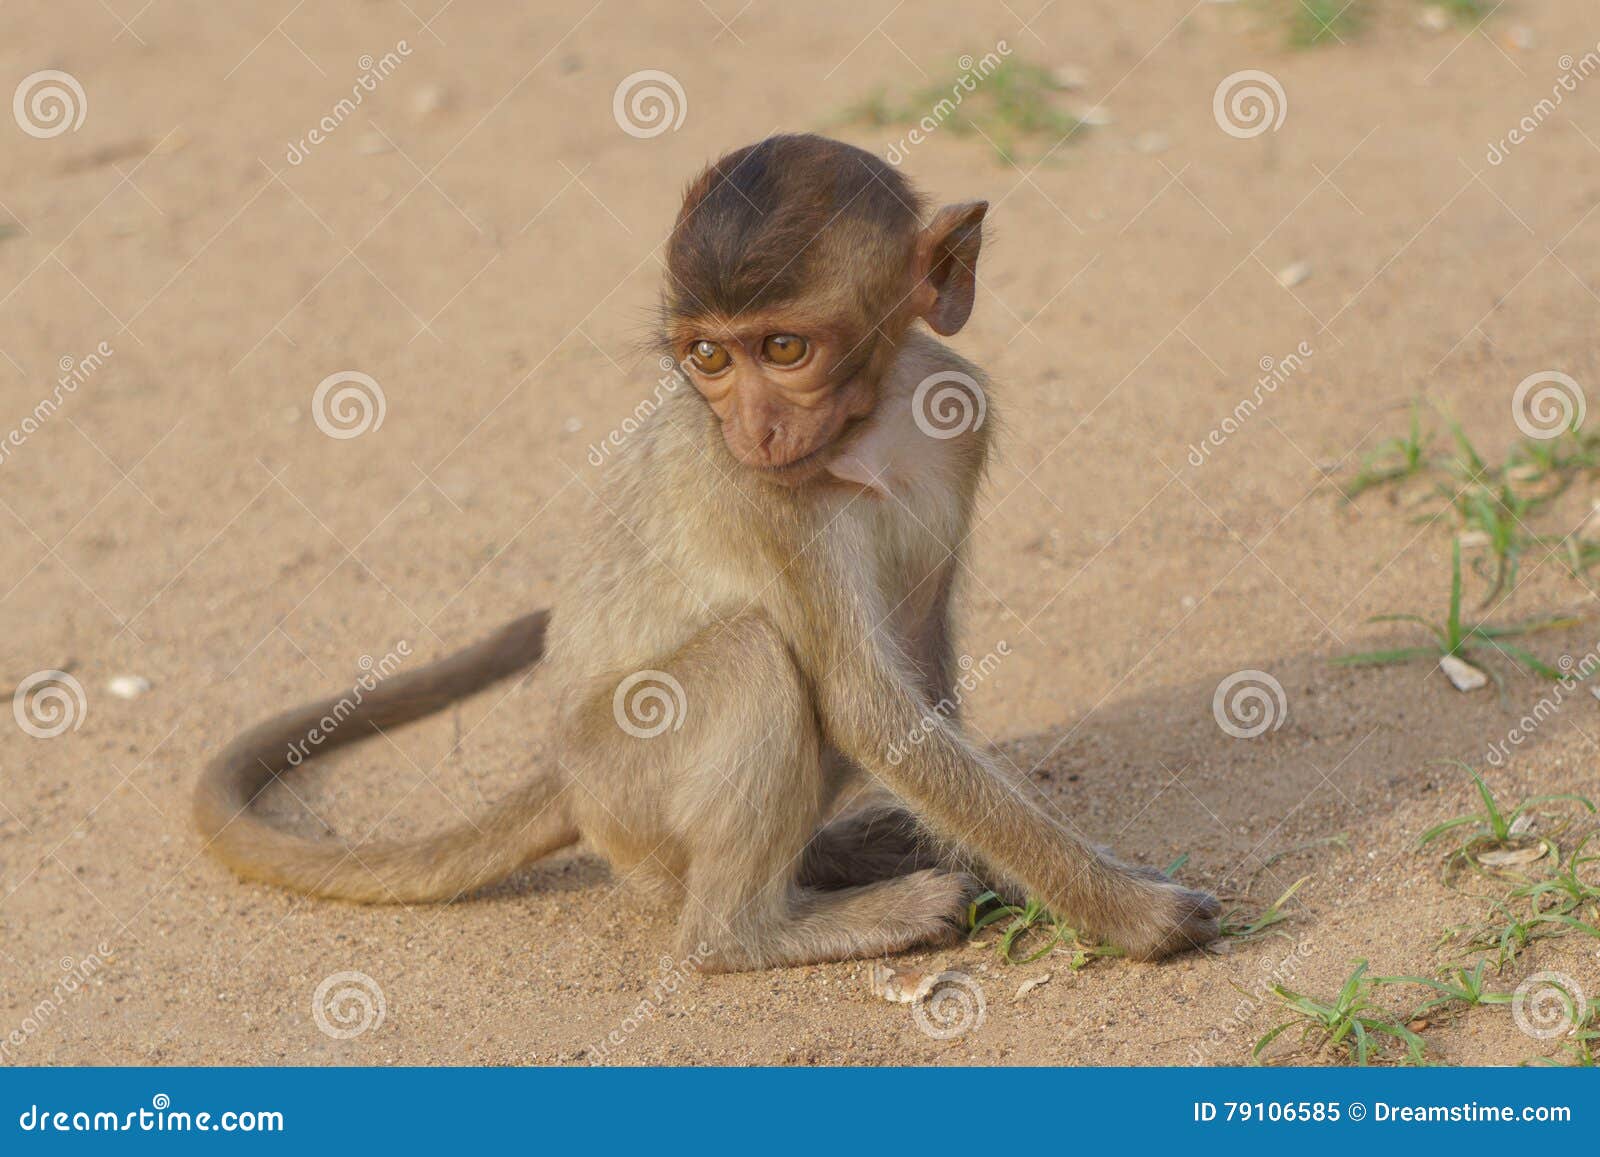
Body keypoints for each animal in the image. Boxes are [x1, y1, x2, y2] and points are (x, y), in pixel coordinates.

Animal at [195, 133, 1220, 972]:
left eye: (784, 347)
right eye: (710, 359)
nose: (754, 429)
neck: (874, 427)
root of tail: (567, 774)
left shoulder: (960, 414)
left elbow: (918, 665)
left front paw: (1008, 864)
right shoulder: (762, 496)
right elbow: (866, 705)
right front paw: (1132, 912)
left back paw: (833, 857)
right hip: (627, 782)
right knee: (756, 661)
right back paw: (755, 931)